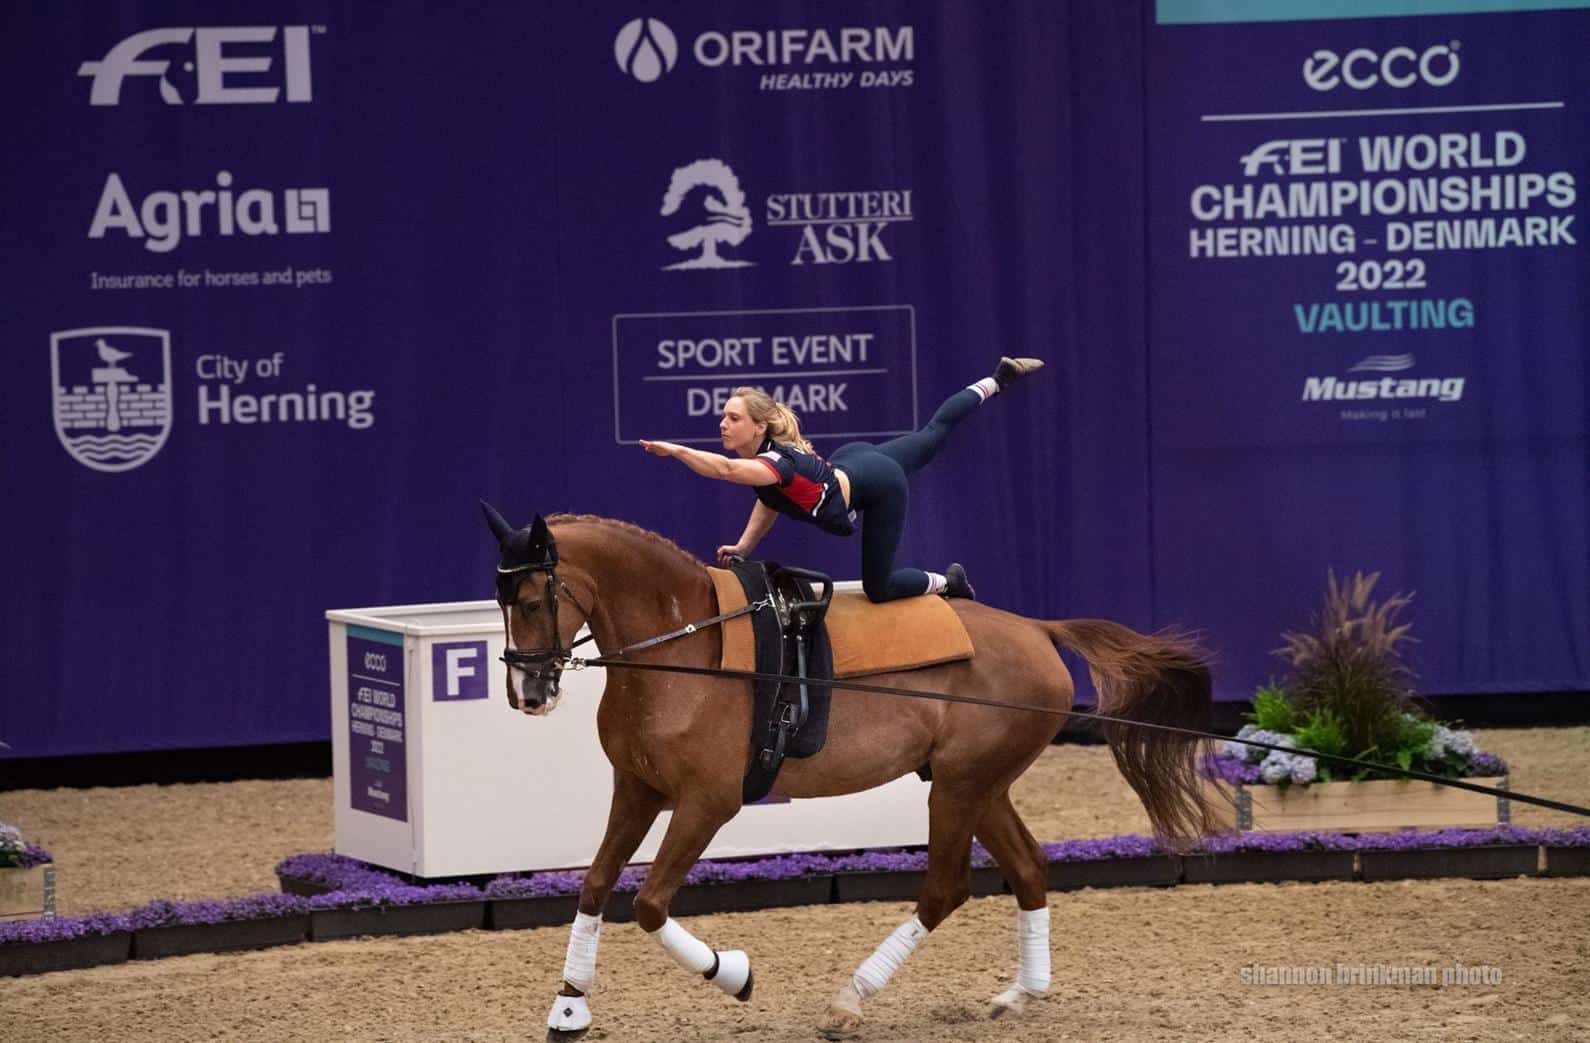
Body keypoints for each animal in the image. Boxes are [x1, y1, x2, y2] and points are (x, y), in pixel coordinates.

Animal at [481, 506, 1221, 1040]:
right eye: (500, 597)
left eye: (533, 598)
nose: (527, 693)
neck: (685, 649)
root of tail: (1038, 629)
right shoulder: (636, 791)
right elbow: (595, 885)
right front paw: (569, 1008)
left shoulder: (706, 804)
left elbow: (650, 904)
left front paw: (734, 973)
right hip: (977, 786)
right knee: (1030, 868)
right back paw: (1020, 994)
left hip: (959, 787)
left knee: (945, 890)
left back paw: (849, 1001)